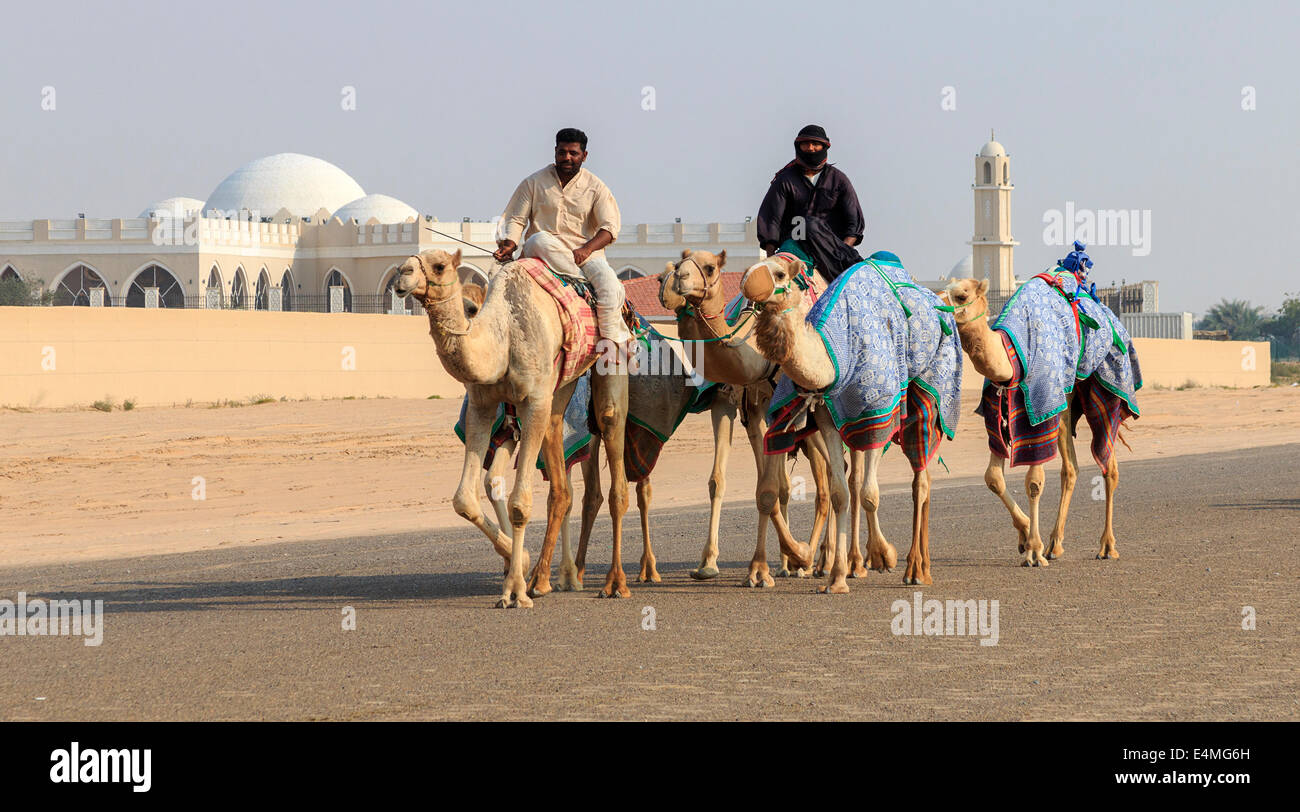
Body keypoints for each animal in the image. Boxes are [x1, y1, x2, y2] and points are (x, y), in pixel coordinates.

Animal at [394, 248, 631, 607]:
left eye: (439, 265)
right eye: (410, 261)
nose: (402, 274)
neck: (502, 339)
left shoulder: (532, 402)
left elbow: (519, 504)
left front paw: (515, 590)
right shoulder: (483, 405)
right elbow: (465, 499)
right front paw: (519, 564)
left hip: (610, 363)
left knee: (610, 438)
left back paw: (613, 583)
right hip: (558, 392)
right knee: (562, 483)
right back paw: (548, 578)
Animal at [668, 250, 828, 587]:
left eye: (709, 267)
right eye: (678, 262)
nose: (678, 278)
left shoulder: (781, 410)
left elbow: (769, 489)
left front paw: (767, 567)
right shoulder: (735, 404)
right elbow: (732, 483)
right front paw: (709, 563)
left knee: (832, 482)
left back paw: (825, 562)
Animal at [742, 252, 962, 591]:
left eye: (779, 274)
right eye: (747, 269)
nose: (746, 285)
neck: (833, 362)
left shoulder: (877, 413)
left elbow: (870, 494)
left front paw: (881, 556)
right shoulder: (827, 416)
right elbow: (840, 493)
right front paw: (836, 577)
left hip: (933, 386)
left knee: (920, 477)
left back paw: (914, 569)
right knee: (918, 474)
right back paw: (920, 565)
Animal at [942, 275, 1138, 565]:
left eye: (962, 295)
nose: (935, 307)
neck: (1011, 358)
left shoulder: (1037, 411)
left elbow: (1034, 482)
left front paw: (1033, 550)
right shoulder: (997, 414)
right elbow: (993, 478)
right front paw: (1025, 536)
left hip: (1104, 390)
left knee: (1108, 465)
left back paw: (1106, 546)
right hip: (1065, 402)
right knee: (1071, 468)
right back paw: (1055, 544)